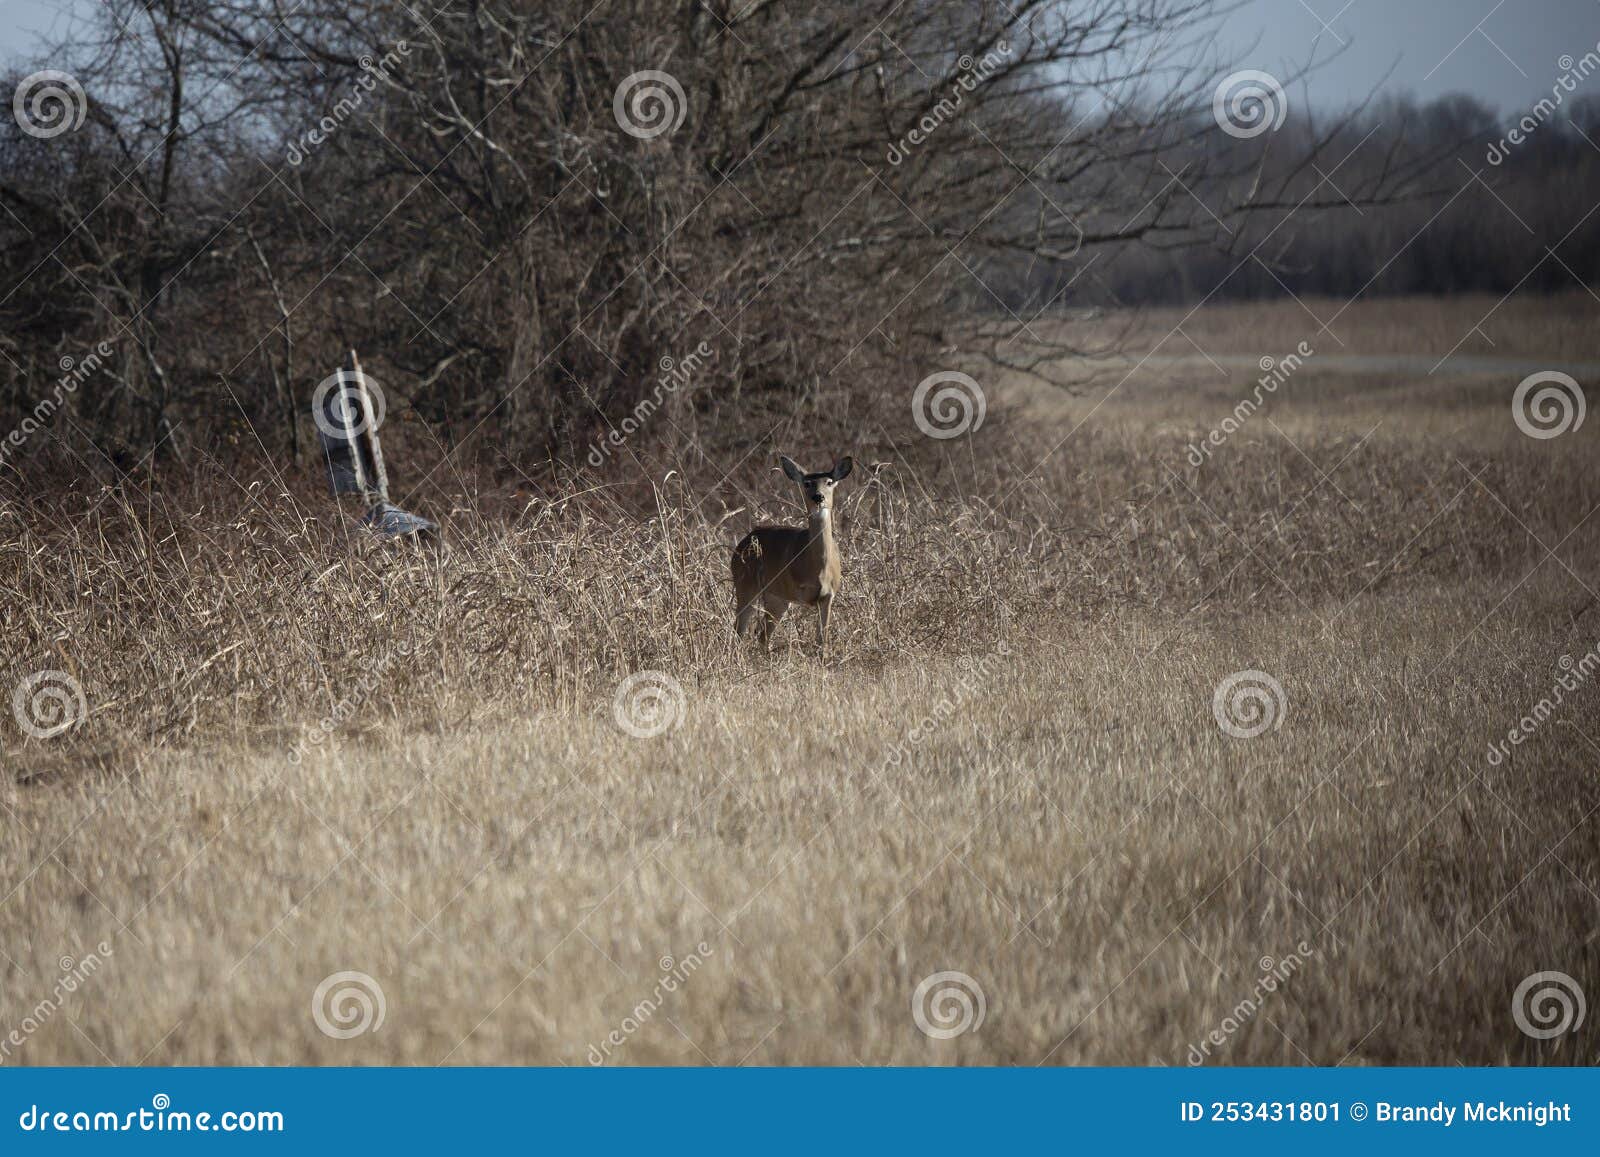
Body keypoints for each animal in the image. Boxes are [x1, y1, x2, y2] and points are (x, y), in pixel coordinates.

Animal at [731, 455, 854, 655]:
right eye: (807, 483)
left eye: (829, 482)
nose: (818, 496)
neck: (819, 568)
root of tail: (742, 543)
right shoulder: (800, 593)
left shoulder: (828, 596)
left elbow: (822, 641)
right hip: (746, 583)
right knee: (740, 630)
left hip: (776, 597)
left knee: (762, 635)